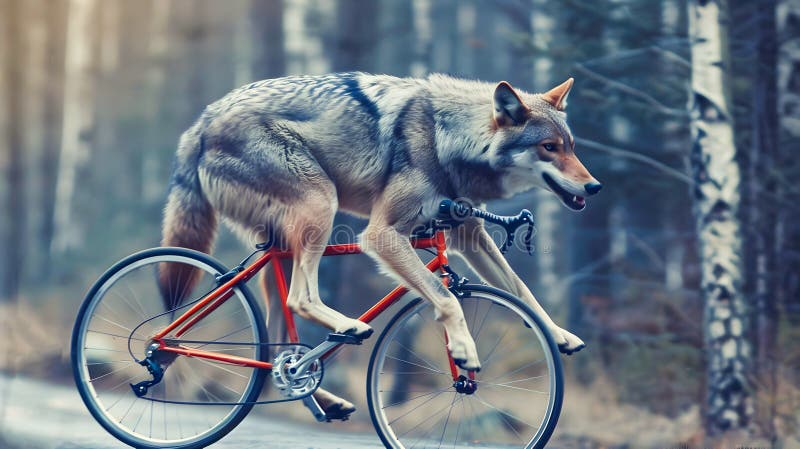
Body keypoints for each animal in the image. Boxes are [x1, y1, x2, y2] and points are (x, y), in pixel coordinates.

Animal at [159, 72, 602, 418]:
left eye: (571, 146)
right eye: (549, 147)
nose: (595, 187)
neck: (445, 138)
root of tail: (201, 122)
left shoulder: (465, 231)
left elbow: (521, 291)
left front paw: (558, 334)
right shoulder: (381, 234)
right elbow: (447, 298)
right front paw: (464, 352)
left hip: (283, 248)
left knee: (278, 347)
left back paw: (317, 394)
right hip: (319, 205)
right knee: (298, 300)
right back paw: (345, 328)